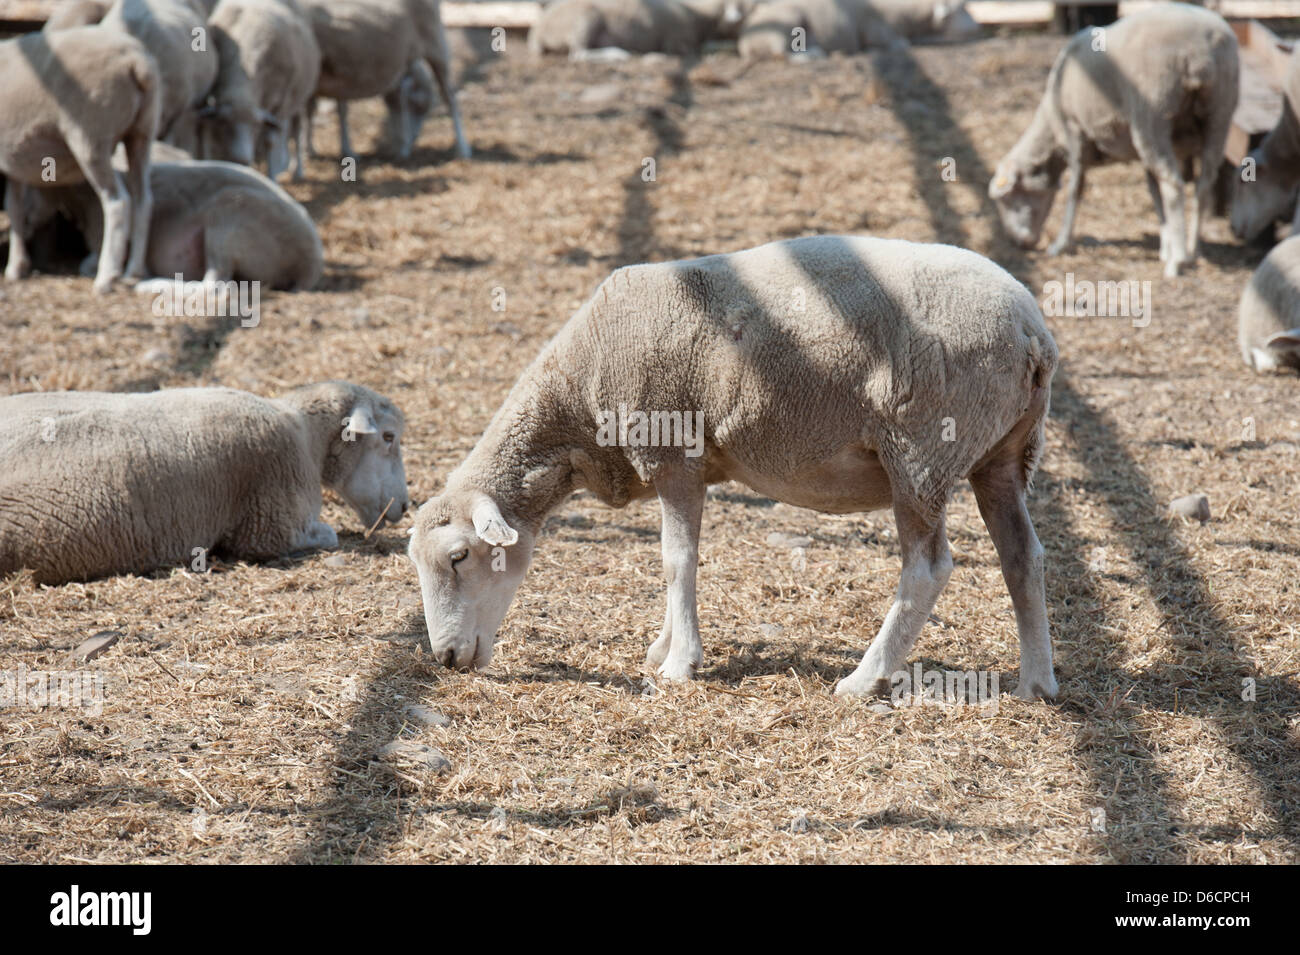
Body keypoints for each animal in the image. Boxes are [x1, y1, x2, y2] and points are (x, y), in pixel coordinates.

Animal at [0, 26, 158, 293]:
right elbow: (14, 206)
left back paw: (106, 277)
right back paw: (134, 271)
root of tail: (137, 61)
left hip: (90, 133)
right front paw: (16, 266)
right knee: (143, 199)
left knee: (117, 201)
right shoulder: (14, 166)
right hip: (142, 131)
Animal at [200, 0, 322, 182]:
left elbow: (270, 141)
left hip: (297, 97)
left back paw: (296, 169)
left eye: (255, 125)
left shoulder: (281, 103)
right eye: (224, 124)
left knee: (295, 129)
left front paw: (271, 179)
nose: (242, 159)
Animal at [300, 0, 470, 160]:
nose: (415, 137)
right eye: (417, 105)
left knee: (450, 99)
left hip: (435, 46)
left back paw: (462, 149)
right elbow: (322, 110)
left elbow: (335, 110)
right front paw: (313, 149)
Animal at [407, 234, 1061, 700]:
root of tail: (1032, 328)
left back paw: (863, 679)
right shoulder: (689, 469)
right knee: (1023, 557)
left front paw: (678, 664)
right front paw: (663, 646)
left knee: (928, 568)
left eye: (459, 556)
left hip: (921, 452)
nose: (445, 659)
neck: (576, 405)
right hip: (1004, 456)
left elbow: (676, 560)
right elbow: (676, 559)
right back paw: (1036, 682)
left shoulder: (672, 454)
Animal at [989, 2, 1238, 279]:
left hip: (1152, 114)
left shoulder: (1074, 132)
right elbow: (1154, 193)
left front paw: (1061, 243)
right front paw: (1166, 244)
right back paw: (1194, 250)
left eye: (1006, 199)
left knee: (1174, 185)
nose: (1018, 243)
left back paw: (1179, 260)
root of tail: (1201, 55)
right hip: (1219, 115)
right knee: (1203, 185)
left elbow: (1075, 189)